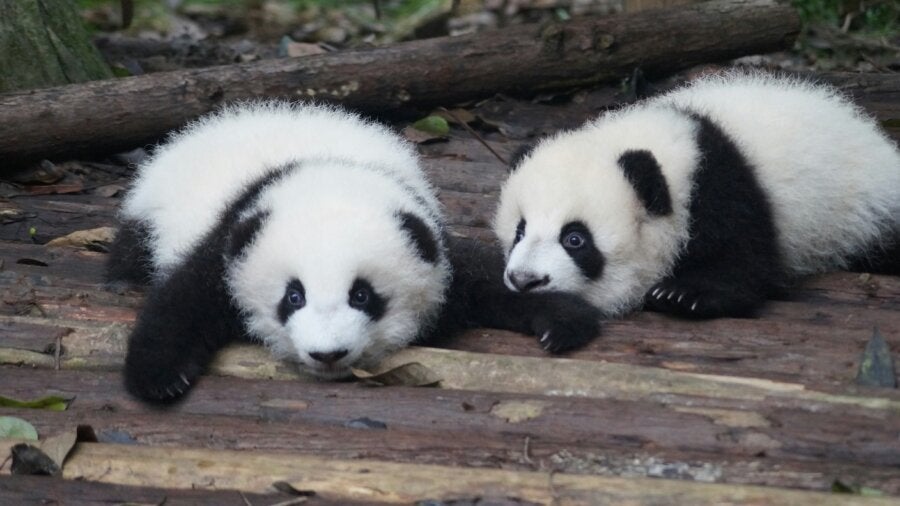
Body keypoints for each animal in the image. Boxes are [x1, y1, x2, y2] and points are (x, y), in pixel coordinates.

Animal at [108, 101, 601, 404]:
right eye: (293, 297)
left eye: (362, 296)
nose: (328, 355)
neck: (330, 171)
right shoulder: (234, 236)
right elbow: (184, 299)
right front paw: (160, 378)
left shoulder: (428, 237)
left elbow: (485, 278)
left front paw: (561, 320)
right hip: (149, 214)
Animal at [494, 71, 900, 319]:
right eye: (519, 231)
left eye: (575, 239)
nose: (525, 280)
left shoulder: (722, 187)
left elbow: (745, 260)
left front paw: (682, 294)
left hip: (866, 210)